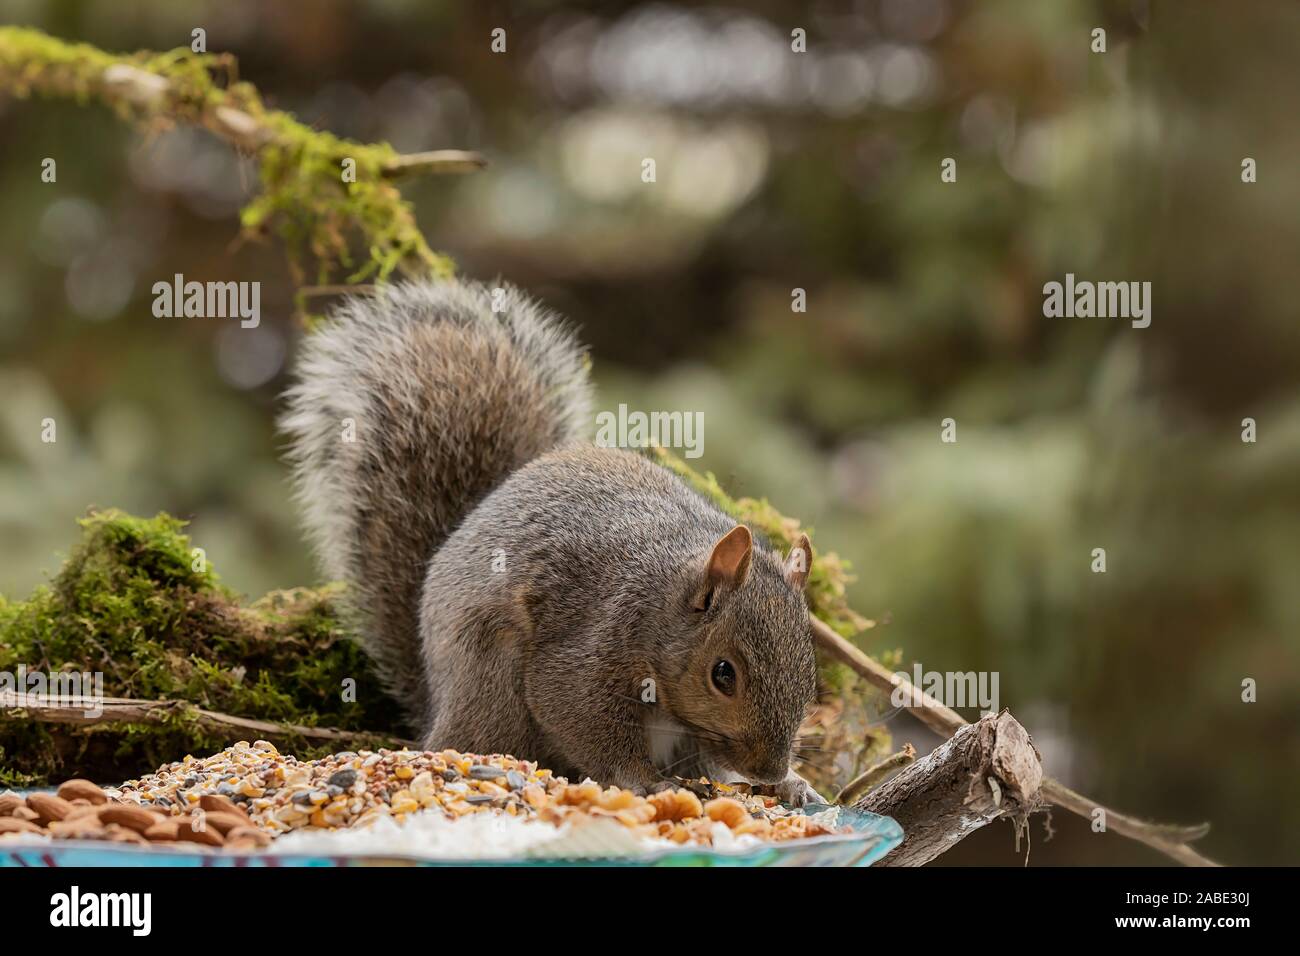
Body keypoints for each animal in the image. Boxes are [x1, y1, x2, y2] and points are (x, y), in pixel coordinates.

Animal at [281, 279, 825, 805]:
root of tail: (436, 712)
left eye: (810, 669)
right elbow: (576, 713)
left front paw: (790, 783)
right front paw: (646, 781)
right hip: (492, 678)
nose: (768, 768)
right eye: (723, 674)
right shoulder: (588, 649)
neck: (662, 601)